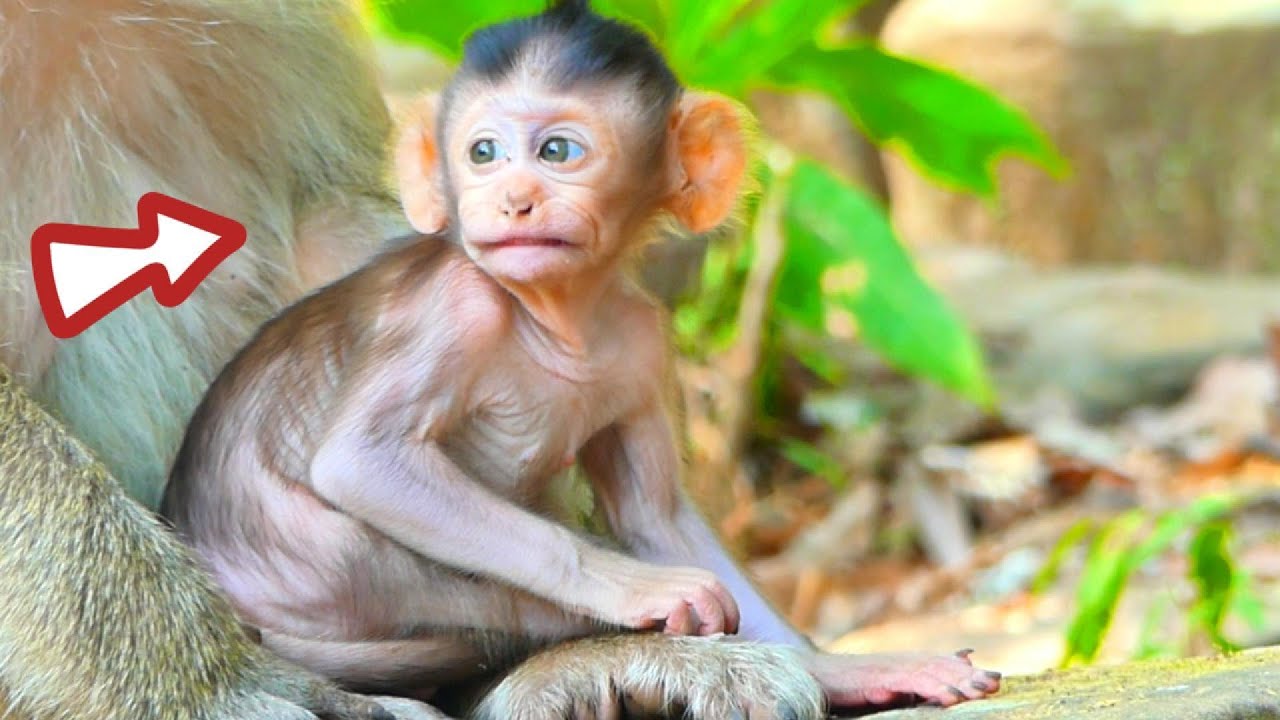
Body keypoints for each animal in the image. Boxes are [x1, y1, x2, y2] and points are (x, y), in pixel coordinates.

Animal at [160, 1, 1003, 717]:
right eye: (483, 152)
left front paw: (840, 669)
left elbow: (656, 519)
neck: (556, 319)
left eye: (558, 151)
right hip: (319, 581)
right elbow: (361, 462)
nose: (514, 200)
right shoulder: (455, 309)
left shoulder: (644, 337)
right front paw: (636, 590)